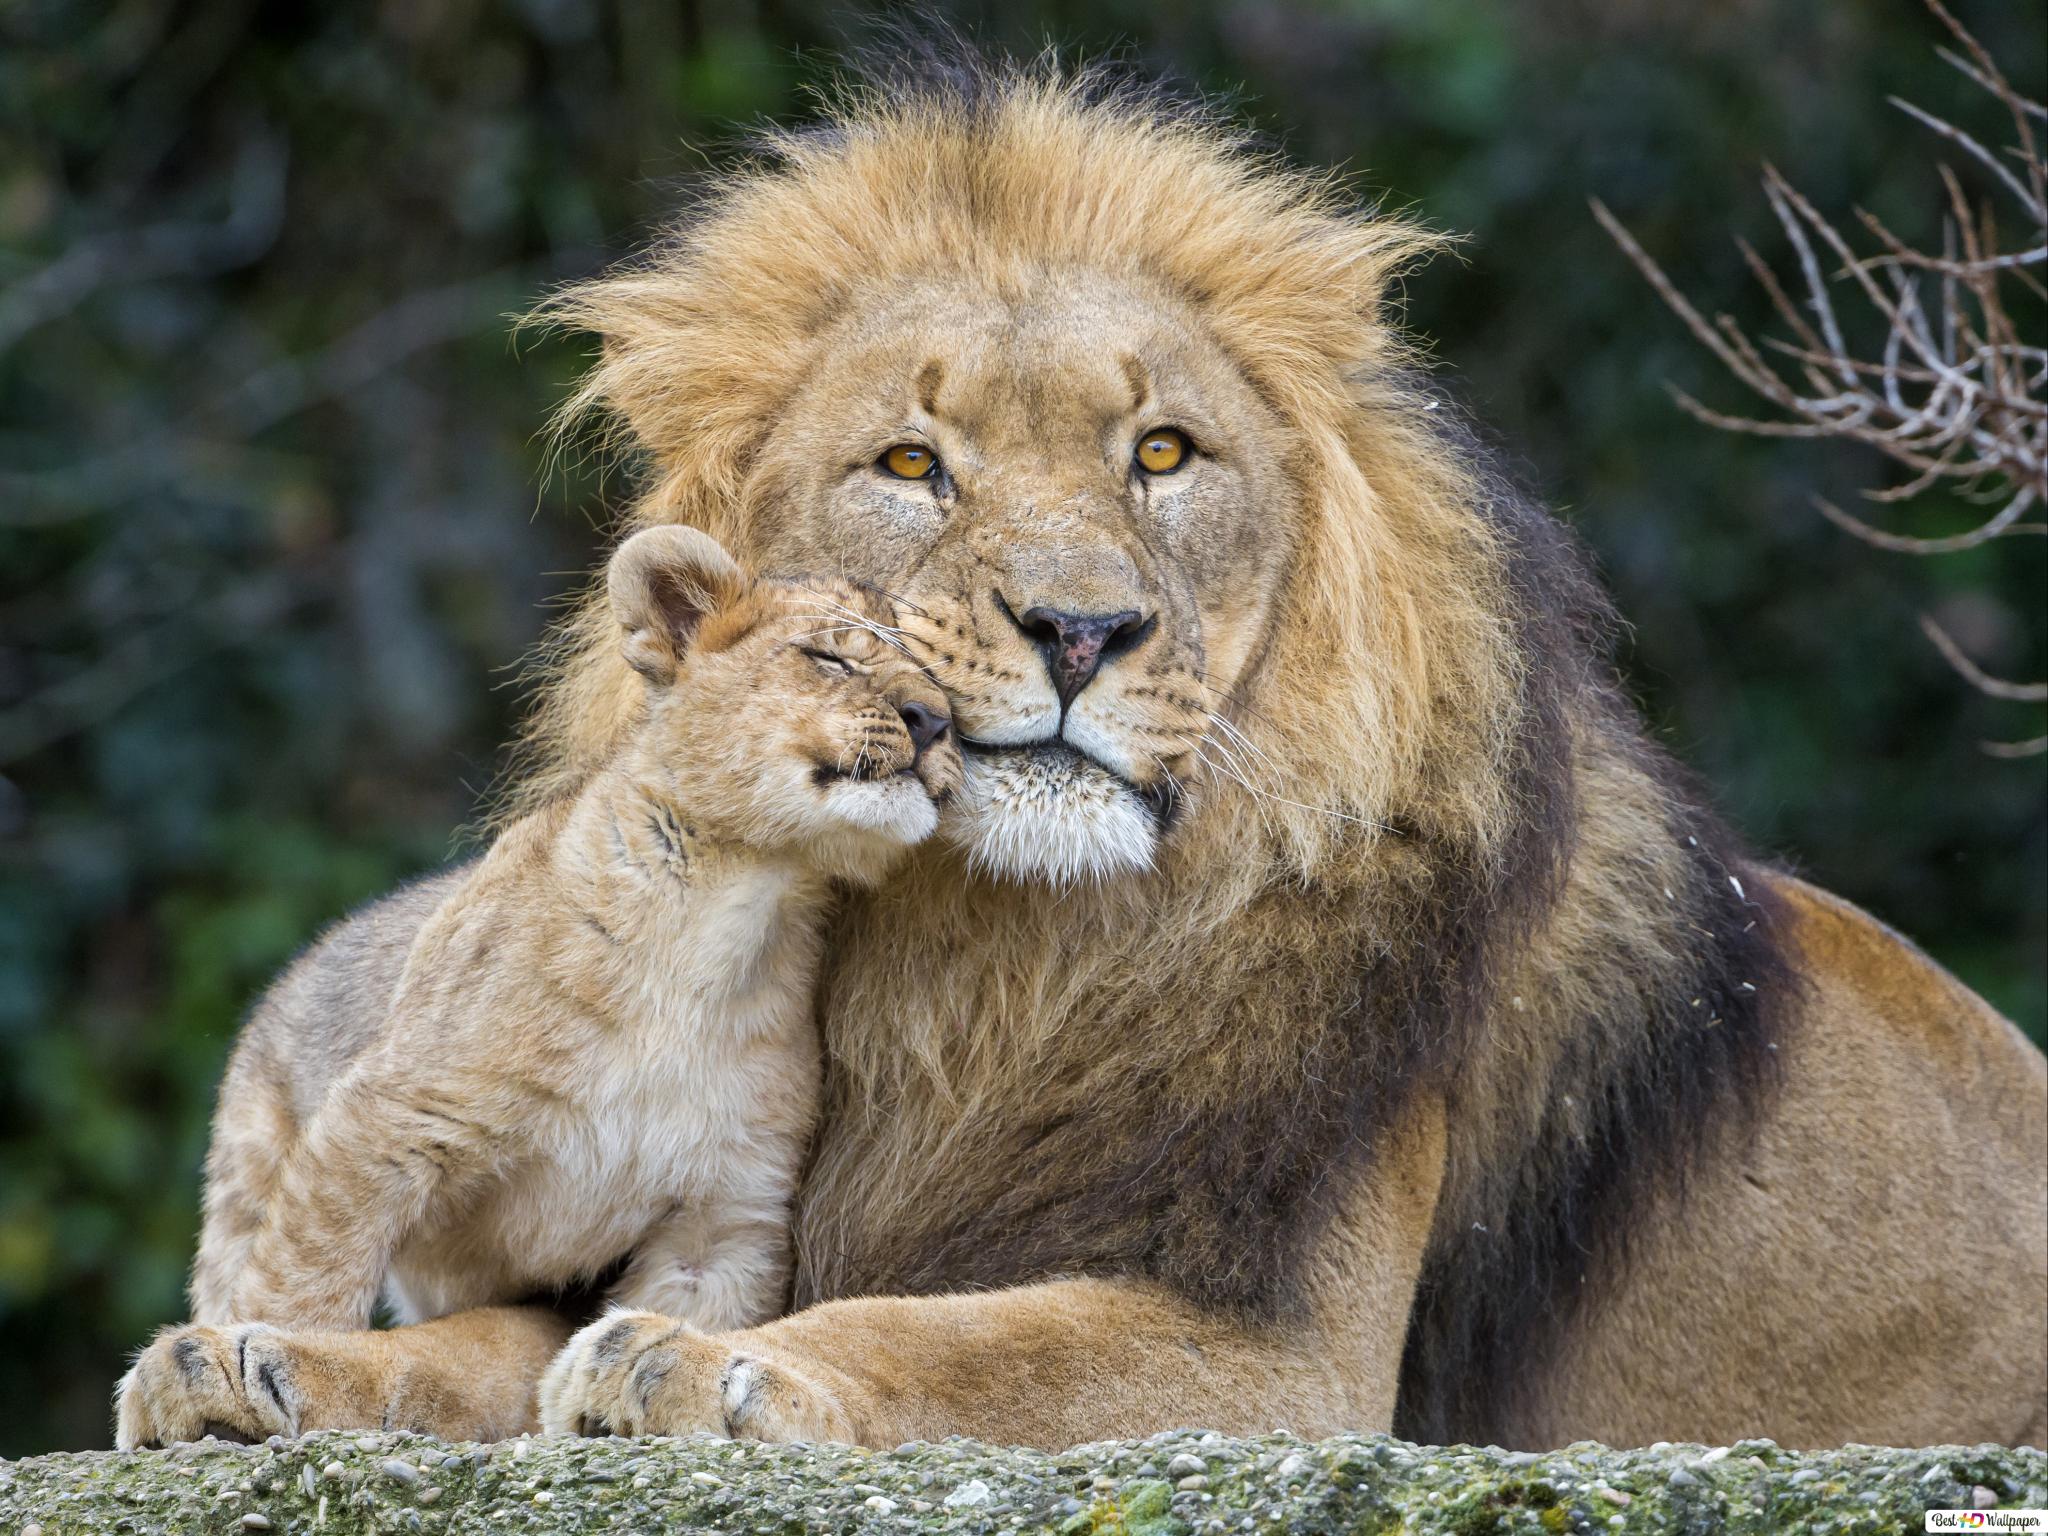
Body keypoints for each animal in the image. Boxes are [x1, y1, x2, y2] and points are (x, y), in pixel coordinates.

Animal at [116, 56, 2046, 1452]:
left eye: (1164, 453)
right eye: (911, 465)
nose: (1079, 632)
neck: (998, 957)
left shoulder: (1285, 1360)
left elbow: (968, 1343)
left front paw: (711, 1368)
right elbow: (470, 1335)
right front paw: (251, 1358)